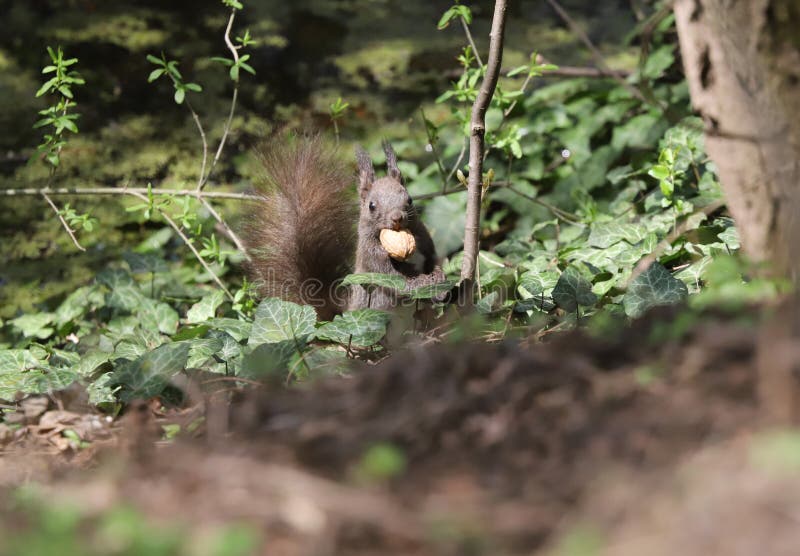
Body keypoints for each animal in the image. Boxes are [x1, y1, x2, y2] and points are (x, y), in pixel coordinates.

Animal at [243, 134, 445, 321]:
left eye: (409, 200)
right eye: (372, 206)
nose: (397, 218)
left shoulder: (425, 240)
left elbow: (433, 259)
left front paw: (438, 277)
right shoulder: (372, 256)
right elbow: (396, 279)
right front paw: (423, 282)